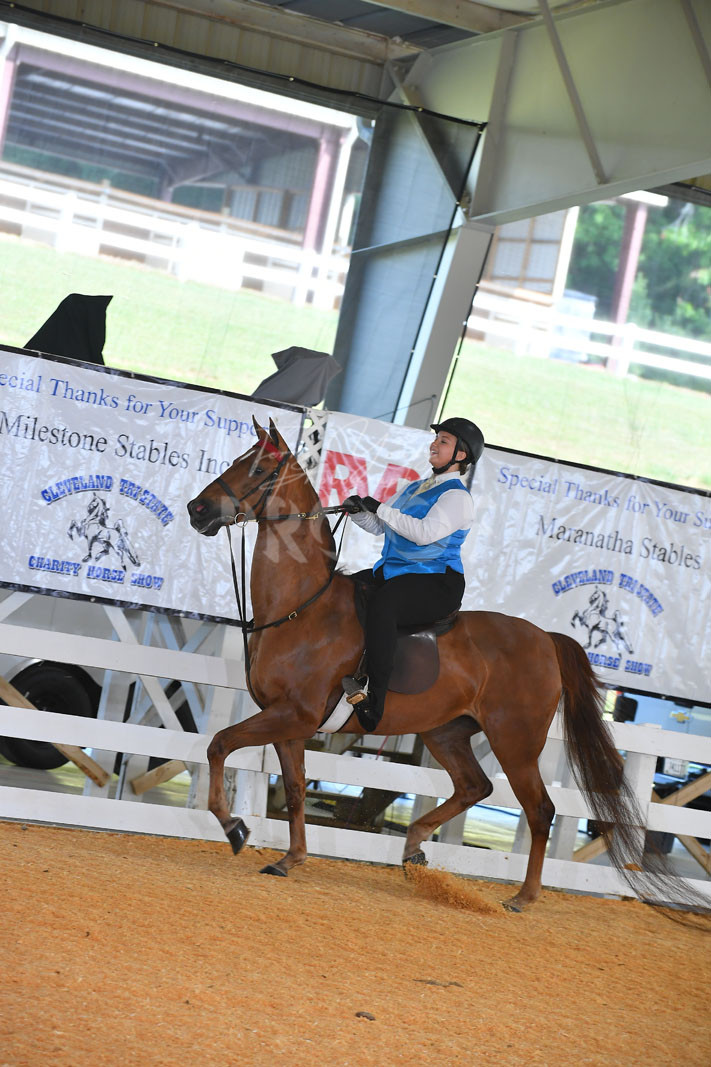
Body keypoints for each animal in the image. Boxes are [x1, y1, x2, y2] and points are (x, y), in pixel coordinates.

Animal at [186, 418, 695, 915]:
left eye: (256, 469)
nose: (197, 509)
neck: (303, 608)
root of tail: (545, 640)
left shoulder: (293, 716)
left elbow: (218, 744)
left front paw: (233, 827)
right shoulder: (288, 723)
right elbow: (292, 791)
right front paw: (290, 858)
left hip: (515, 742)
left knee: (540, 810)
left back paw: (522, 897)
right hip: (446, 732)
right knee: (474, 788)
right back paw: (414, 849)